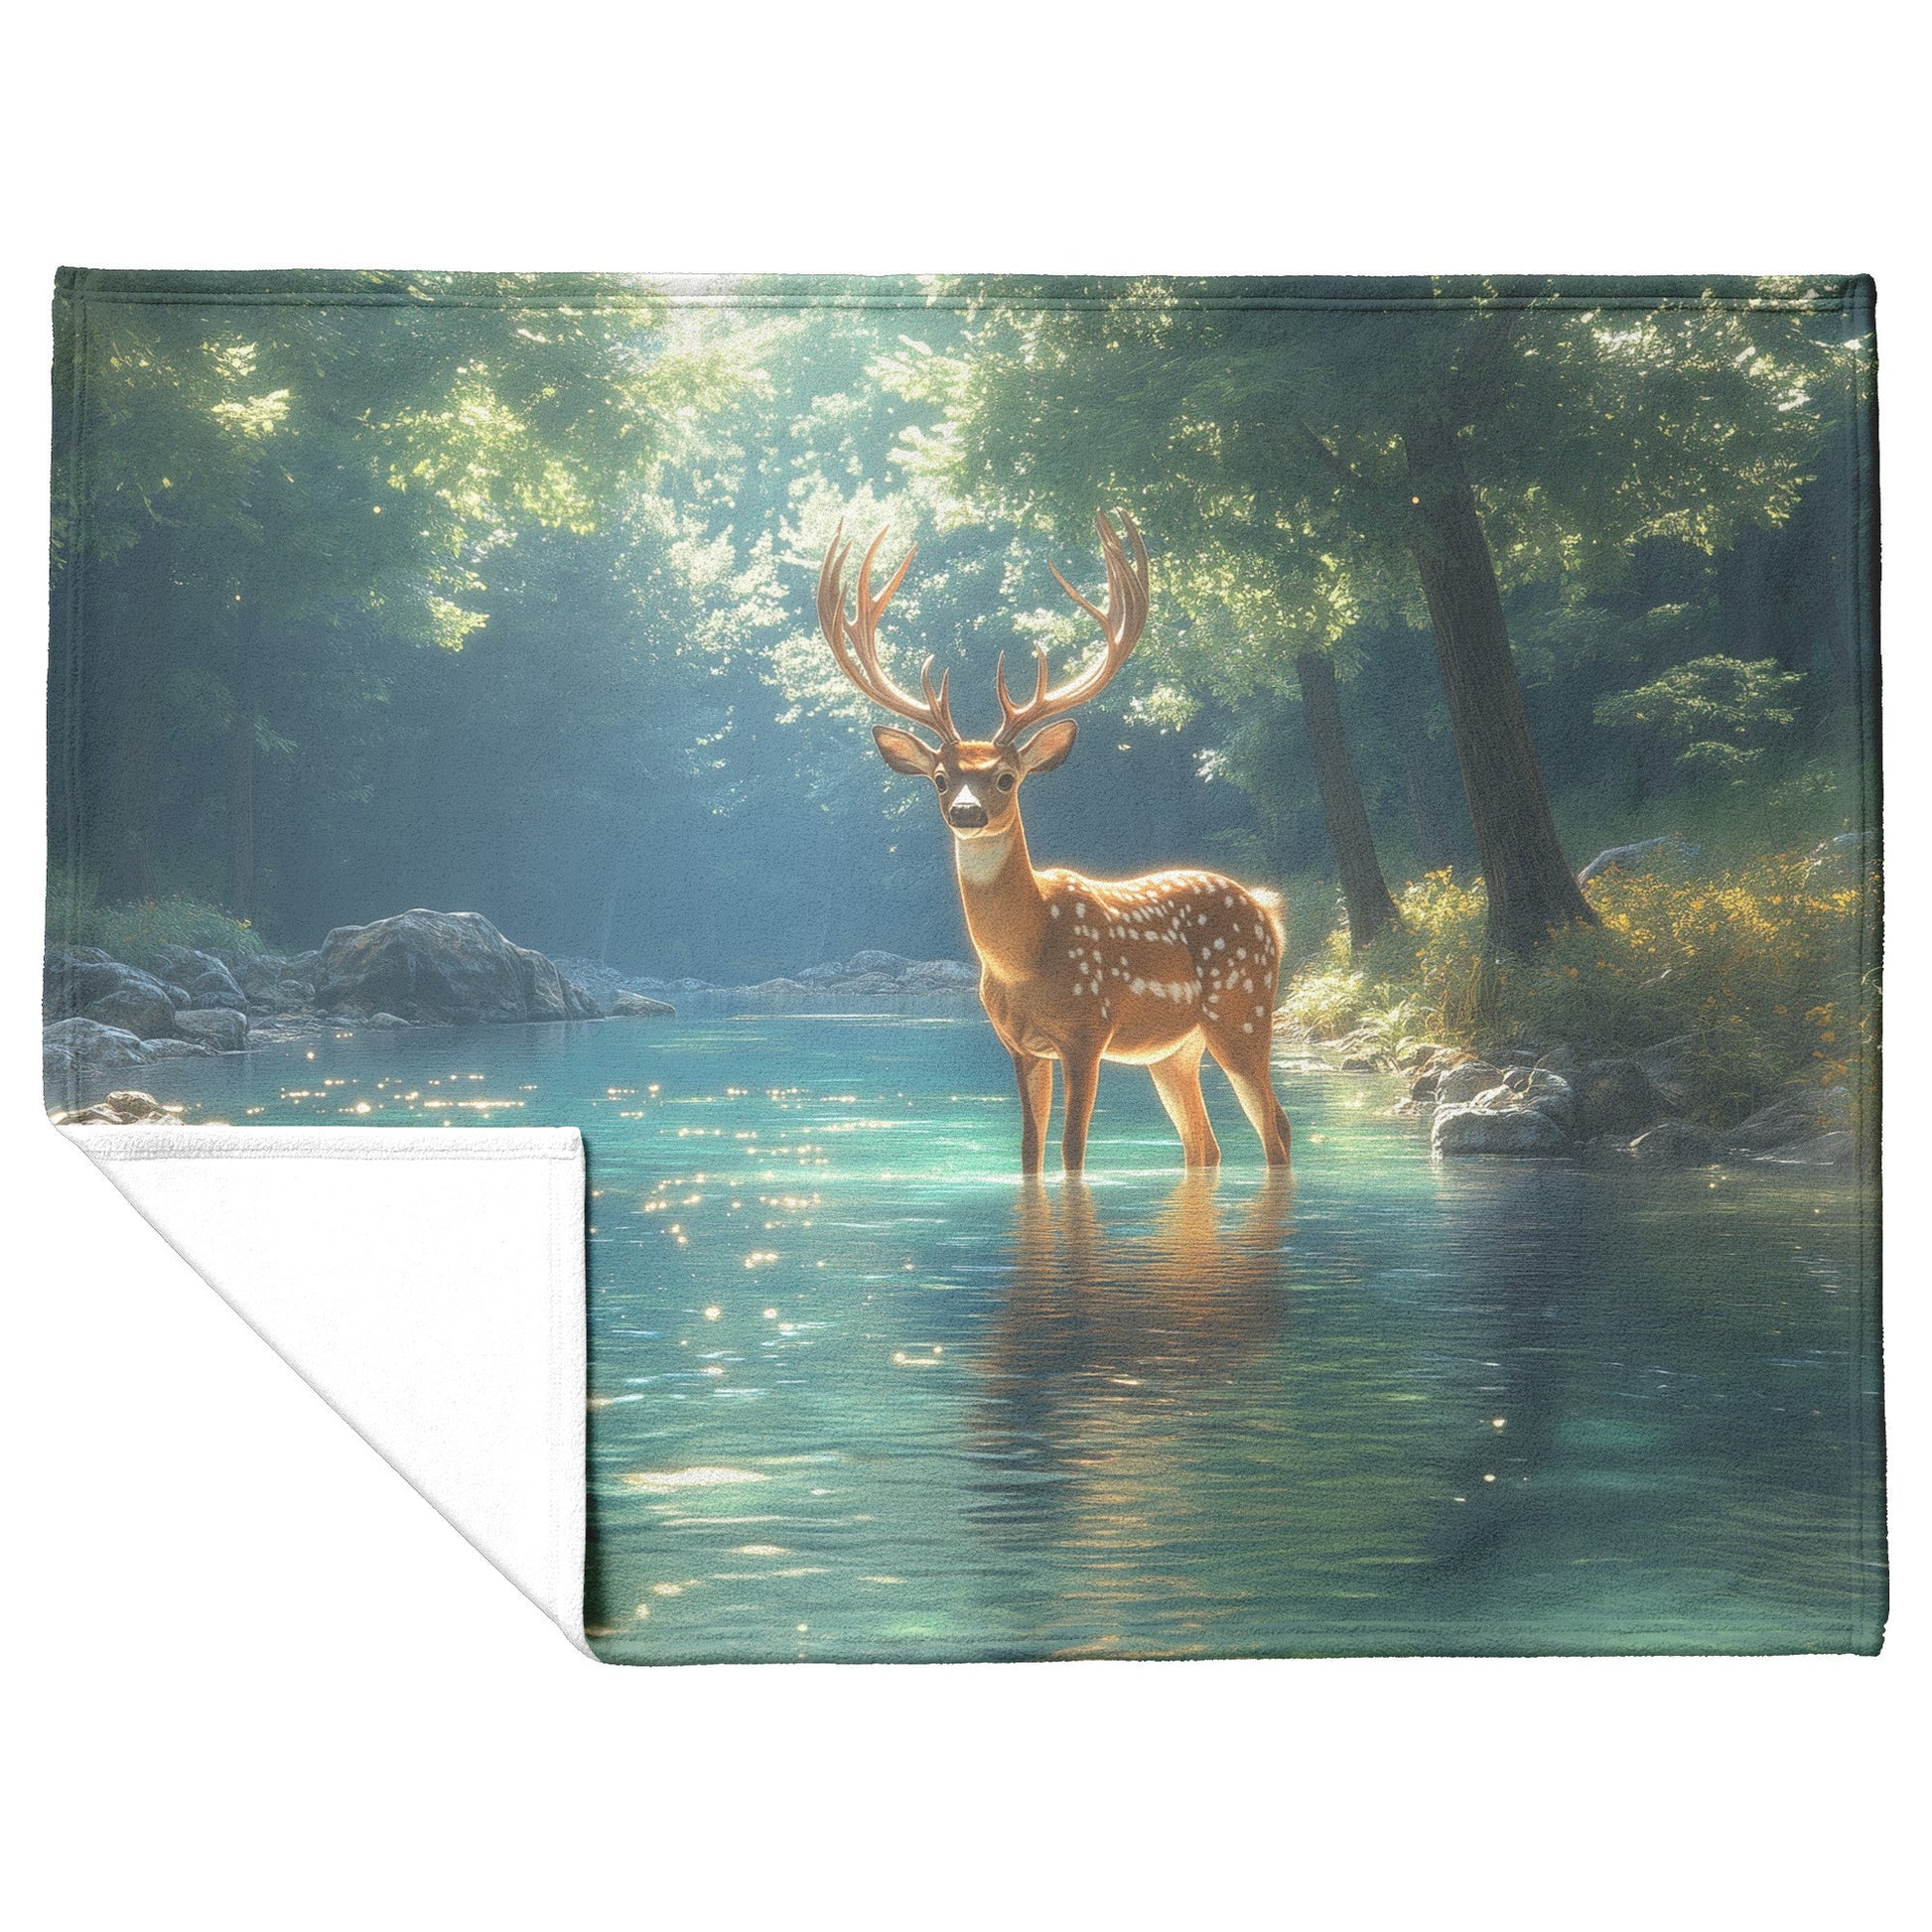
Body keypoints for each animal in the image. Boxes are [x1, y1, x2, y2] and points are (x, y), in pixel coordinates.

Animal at [816, 509, 1292, 1176]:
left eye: (1005, 777)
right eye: (940, 778)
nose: (966, 812)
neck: (1027, 956)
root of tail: (1266, 910)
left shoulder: (1088, 1030)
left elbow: (1072, 1152)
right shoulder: (1018, 1045)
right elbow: (1029, 1153)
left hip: (1242, 1010)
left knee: (1275, 1129)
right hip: (1173, 1050)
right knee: (1208, 1144)